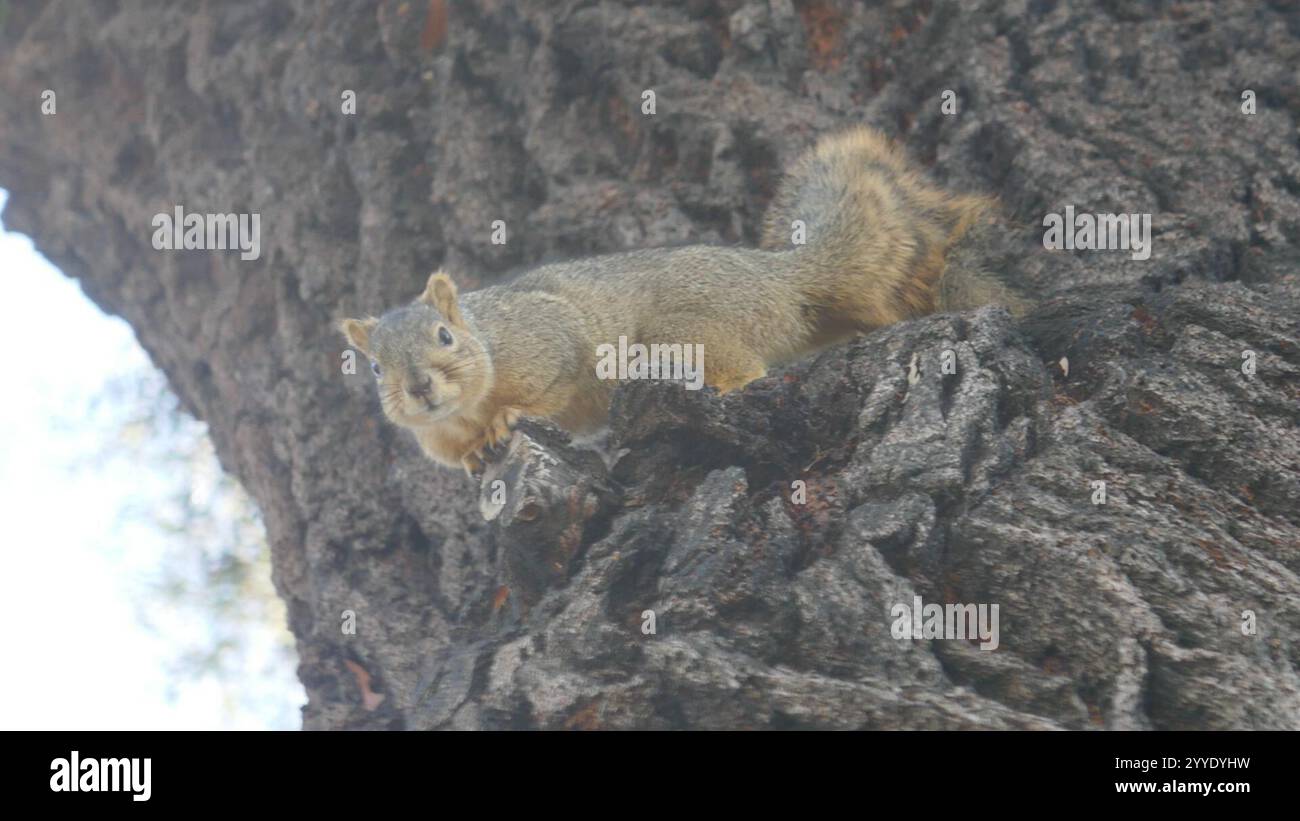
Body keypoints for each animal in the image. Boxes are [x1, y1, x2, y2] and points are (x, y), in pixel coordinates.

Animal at [339, 126, 1028, 475]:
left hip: (693, 327)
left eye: (445, 336)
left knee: (744, 367)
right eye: (373, 367)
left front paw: (509, 419)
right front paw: (477, 451)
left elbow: (545, 388)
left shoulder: (548, 339)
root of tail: (782, 279)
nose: (419, 387)